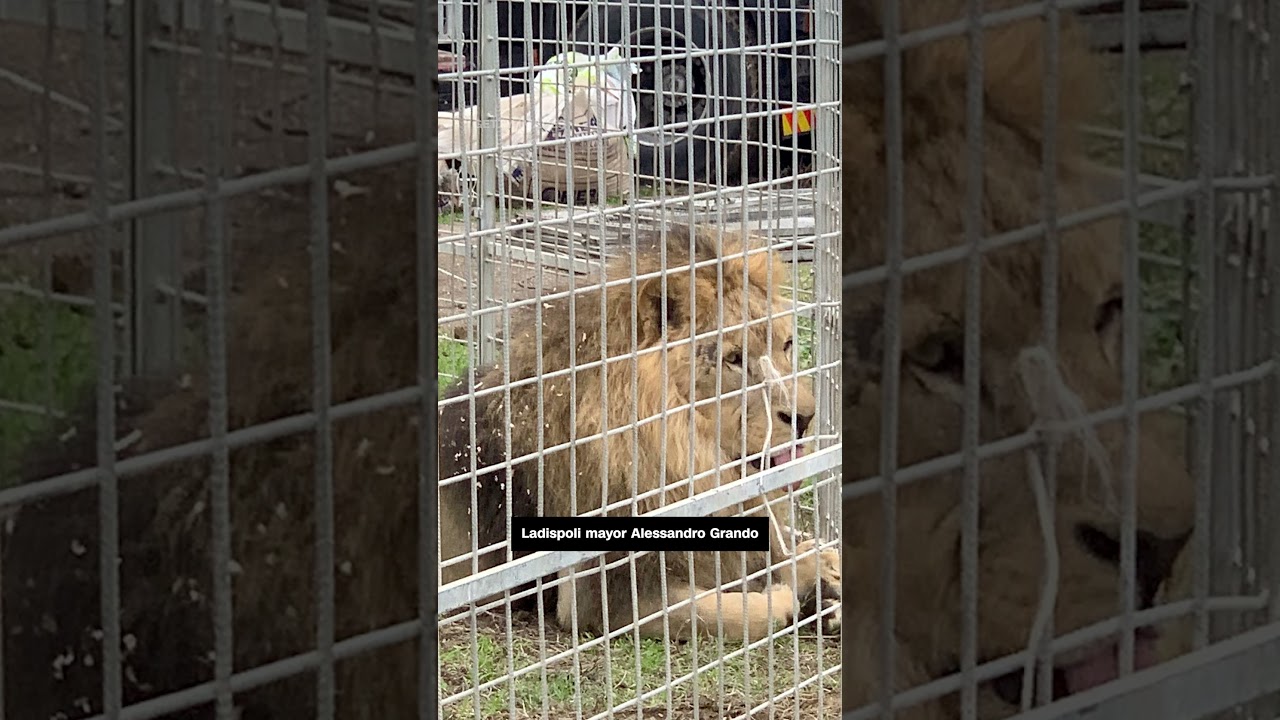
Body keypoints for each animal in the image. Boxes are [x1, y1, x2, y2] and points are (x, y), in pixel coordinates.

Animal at [437, 224, 842, 642]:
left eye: (787, 345)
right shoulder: (604, 597)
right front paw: (790, 600)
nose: (805, 417)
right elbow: (733, 612)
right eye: (733, 359)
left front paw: (823, 581)